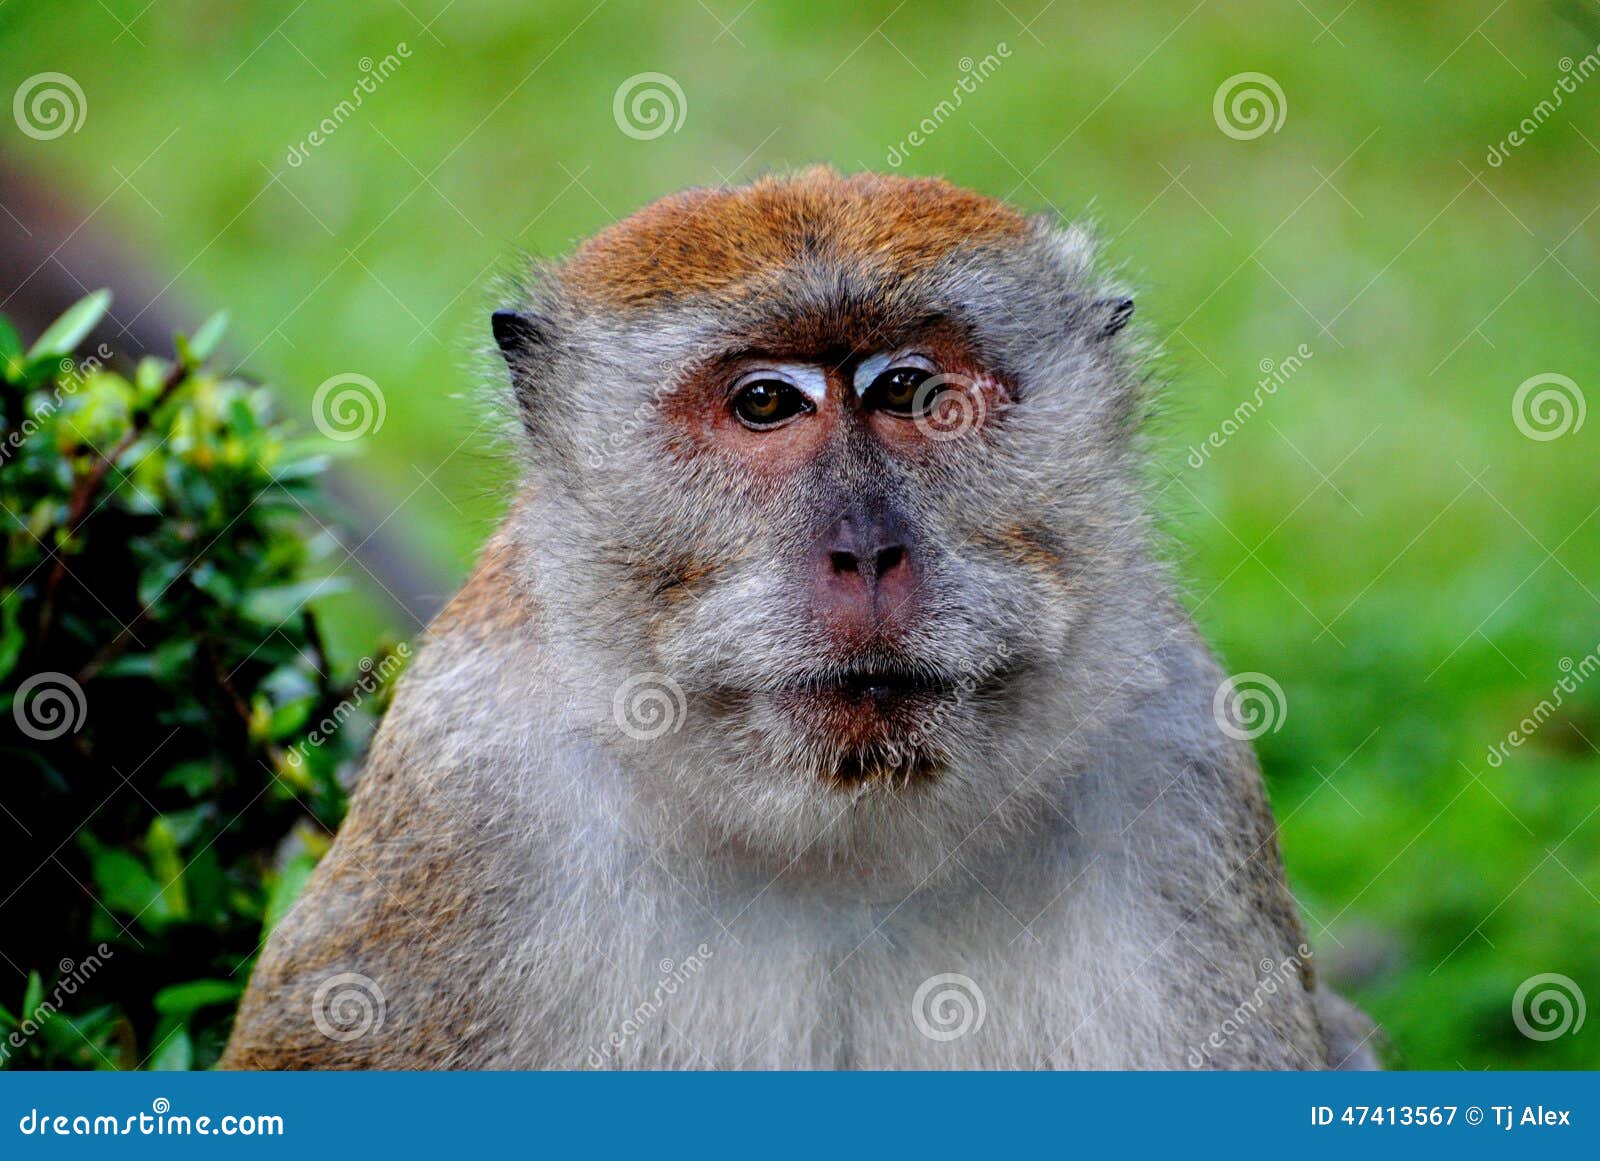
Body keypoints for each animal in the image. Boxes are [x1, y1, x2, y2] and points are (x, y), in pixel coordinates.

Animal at [222, 167, 1377, 1070]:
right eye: (766, 403)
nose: (864, 553)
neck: (839, 841)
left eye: (912, 391)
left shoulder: (1174, 756)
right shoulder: (469, 786)